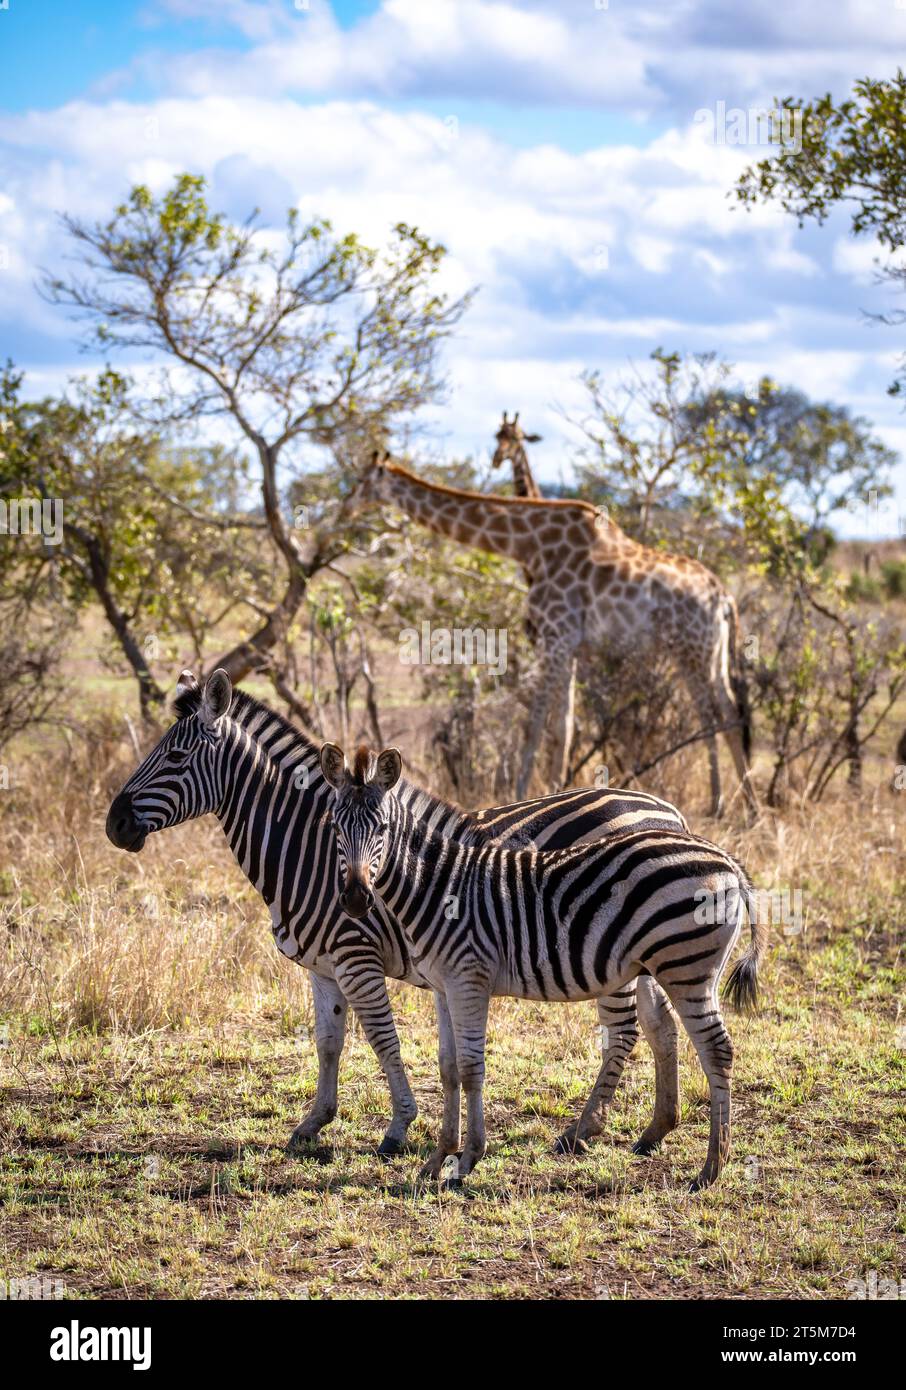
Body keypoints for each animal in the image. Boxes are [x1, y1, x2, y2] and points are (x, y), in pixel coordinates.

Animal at [106, 668, 691, 1157]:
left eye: (175, 759)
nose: (114, 825)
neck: (310, 848)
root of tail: (666, 811)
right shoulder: (323, 966)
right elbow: (328, 1041)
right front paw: (313, 1123)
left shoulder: (356, 956)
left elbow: (383, 1039)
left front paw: (398, 1128)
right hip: (648, 952)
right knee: (661, 1023)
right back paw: (655, 1130)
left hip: (612, 955)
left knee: (624, 1031)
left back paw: (583, 1130)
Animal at [319, 741, 767, 1191]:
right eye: (335, 828)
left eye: (382, 829)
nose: (355, 899)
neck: (437, 887)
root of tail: (726, 860)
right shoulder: (444, 988)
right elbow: (447, 1068)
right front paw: (437, 1159)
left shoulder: (469, 980)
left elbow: (470, 1068)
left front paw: (467, 1160)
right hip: (671, 966)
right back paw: (665, 1141)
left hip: (687, 969)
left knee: (716, 1050)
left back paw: (711, 1168)